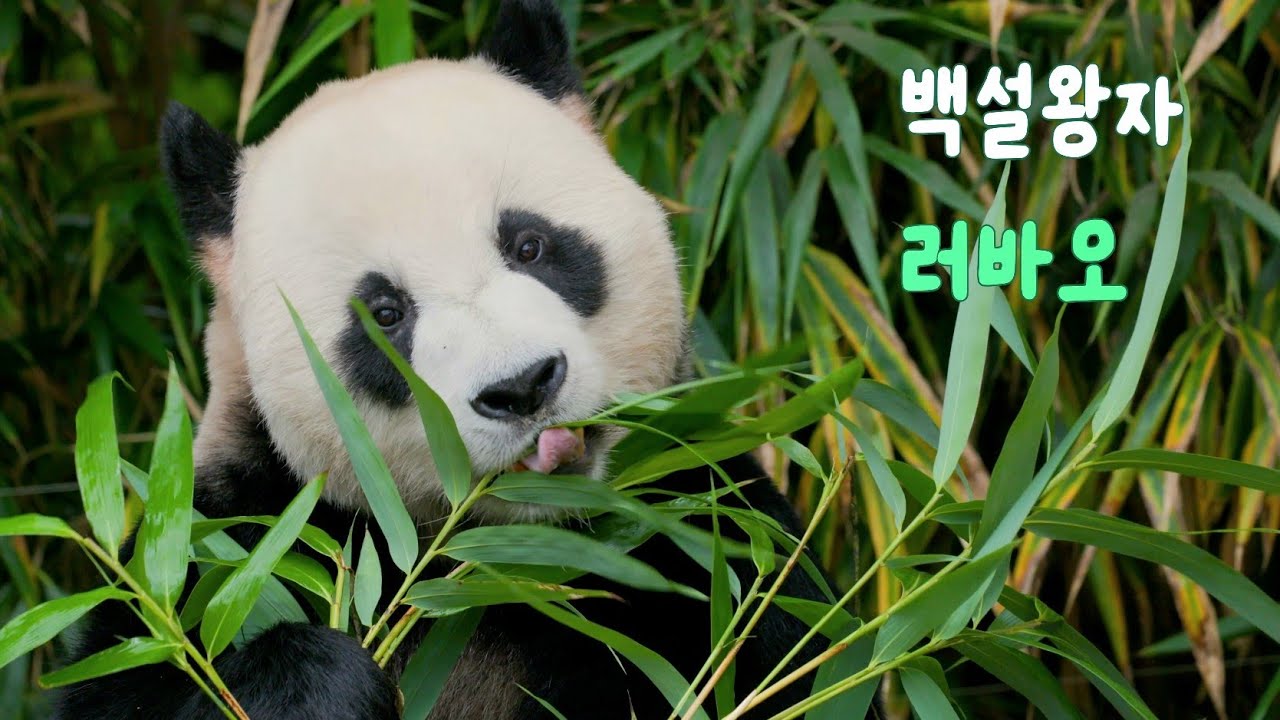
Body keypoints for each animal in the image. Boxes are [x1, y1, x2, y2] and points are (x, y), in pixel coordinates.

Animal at [54, 1, 833, 718]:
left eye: (530, 245)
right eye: (385, 313)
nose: (522, 388)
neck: (496, 551)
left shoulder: (699, 527)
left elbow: (787, 651)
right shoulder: (226, 533)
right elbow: (134, 673)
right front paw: (317, 686)